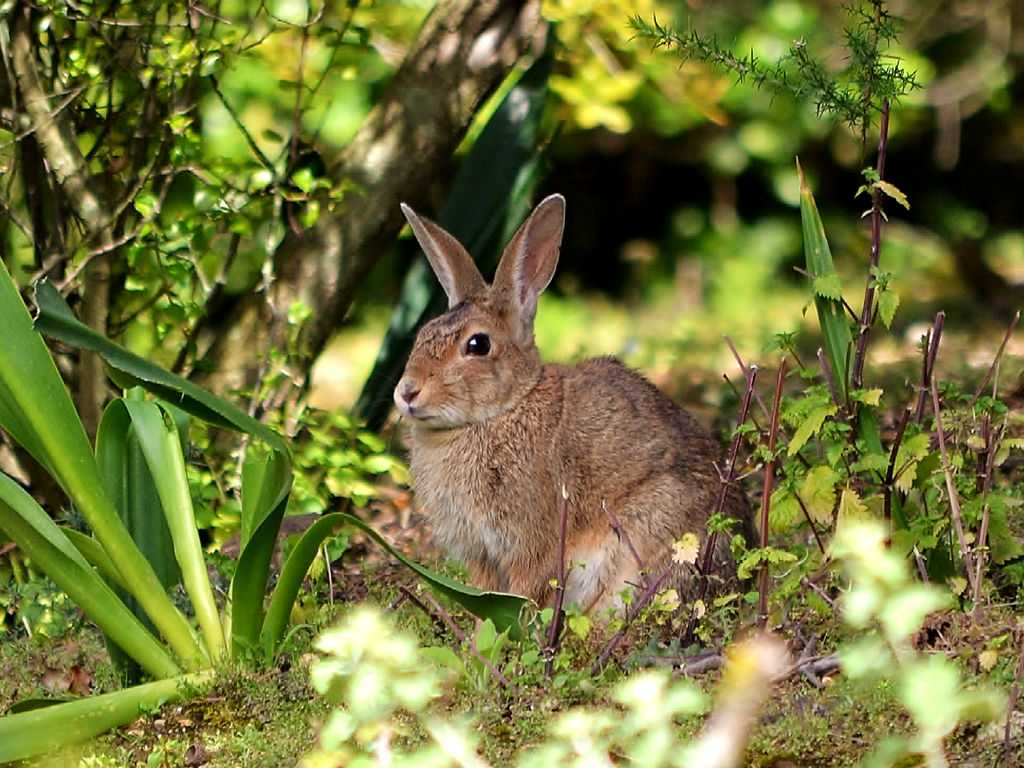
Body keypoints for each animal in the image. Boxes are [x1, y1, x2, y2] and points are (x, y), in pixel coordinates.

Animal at [393, 194, 752, 613]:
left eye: (478, 345)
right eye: (423, 334)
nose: (407, 392)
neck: (501, 411)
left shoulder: (532, 542)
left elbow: (524, 590)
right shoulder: (480, 555)